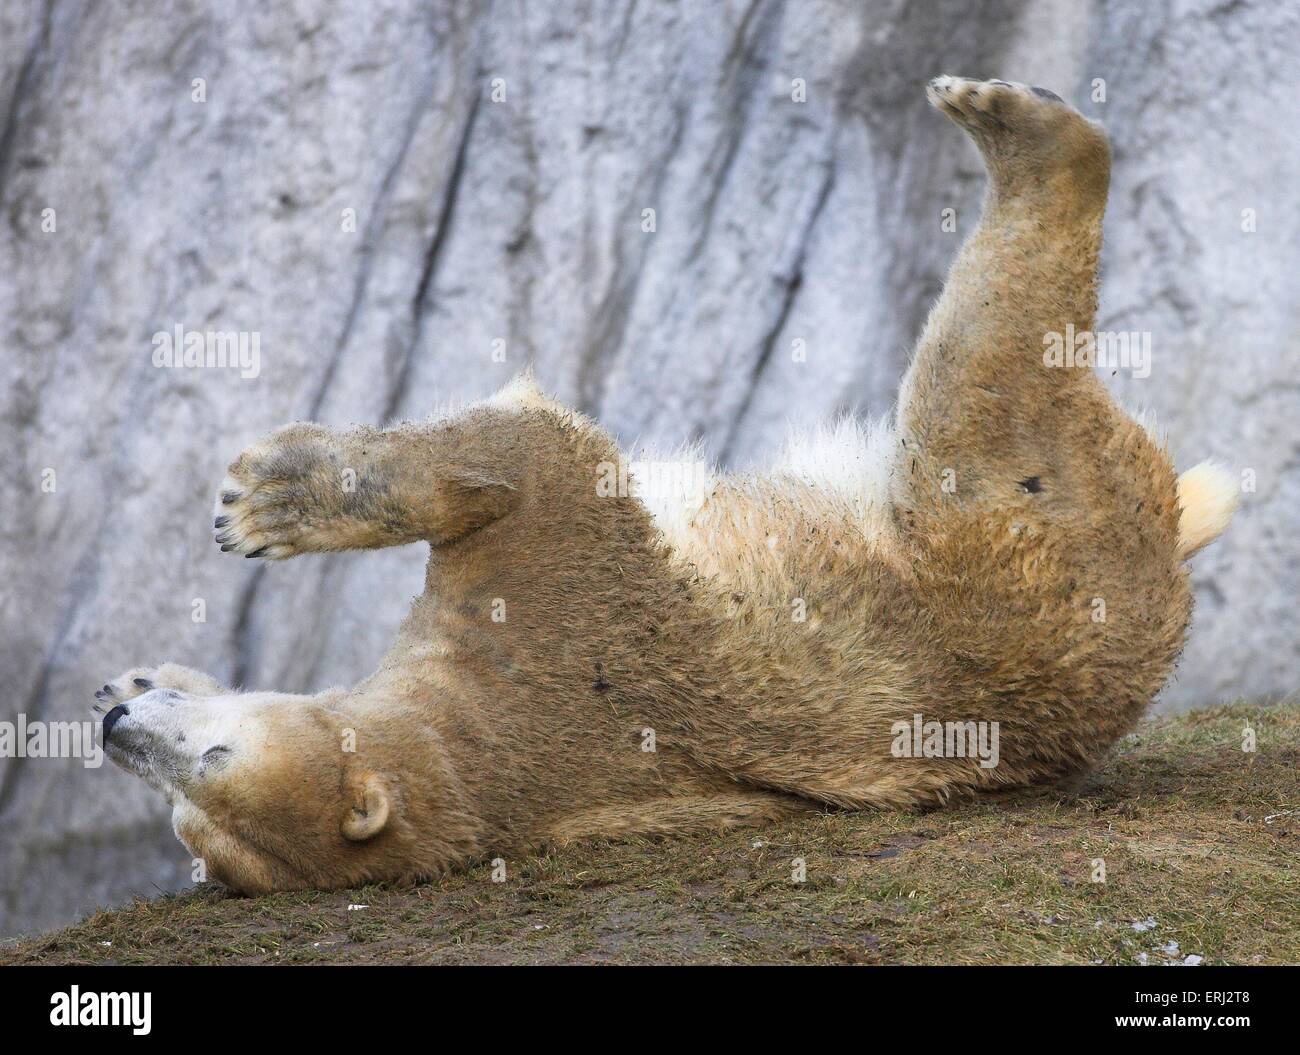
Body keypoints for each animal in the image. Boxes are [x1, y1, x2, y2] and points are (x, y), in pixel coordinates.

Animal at [95, 77, 1237, 895]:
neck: (476, 744)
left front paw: (266, 503)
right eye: (183, 815)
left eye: (213, 759)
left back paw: (1019, 129)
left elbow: (536, 459)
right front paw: (137, 668)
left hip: (1006, 541)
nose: (117, 728)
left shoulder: (549, 610)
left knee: (976, 381)